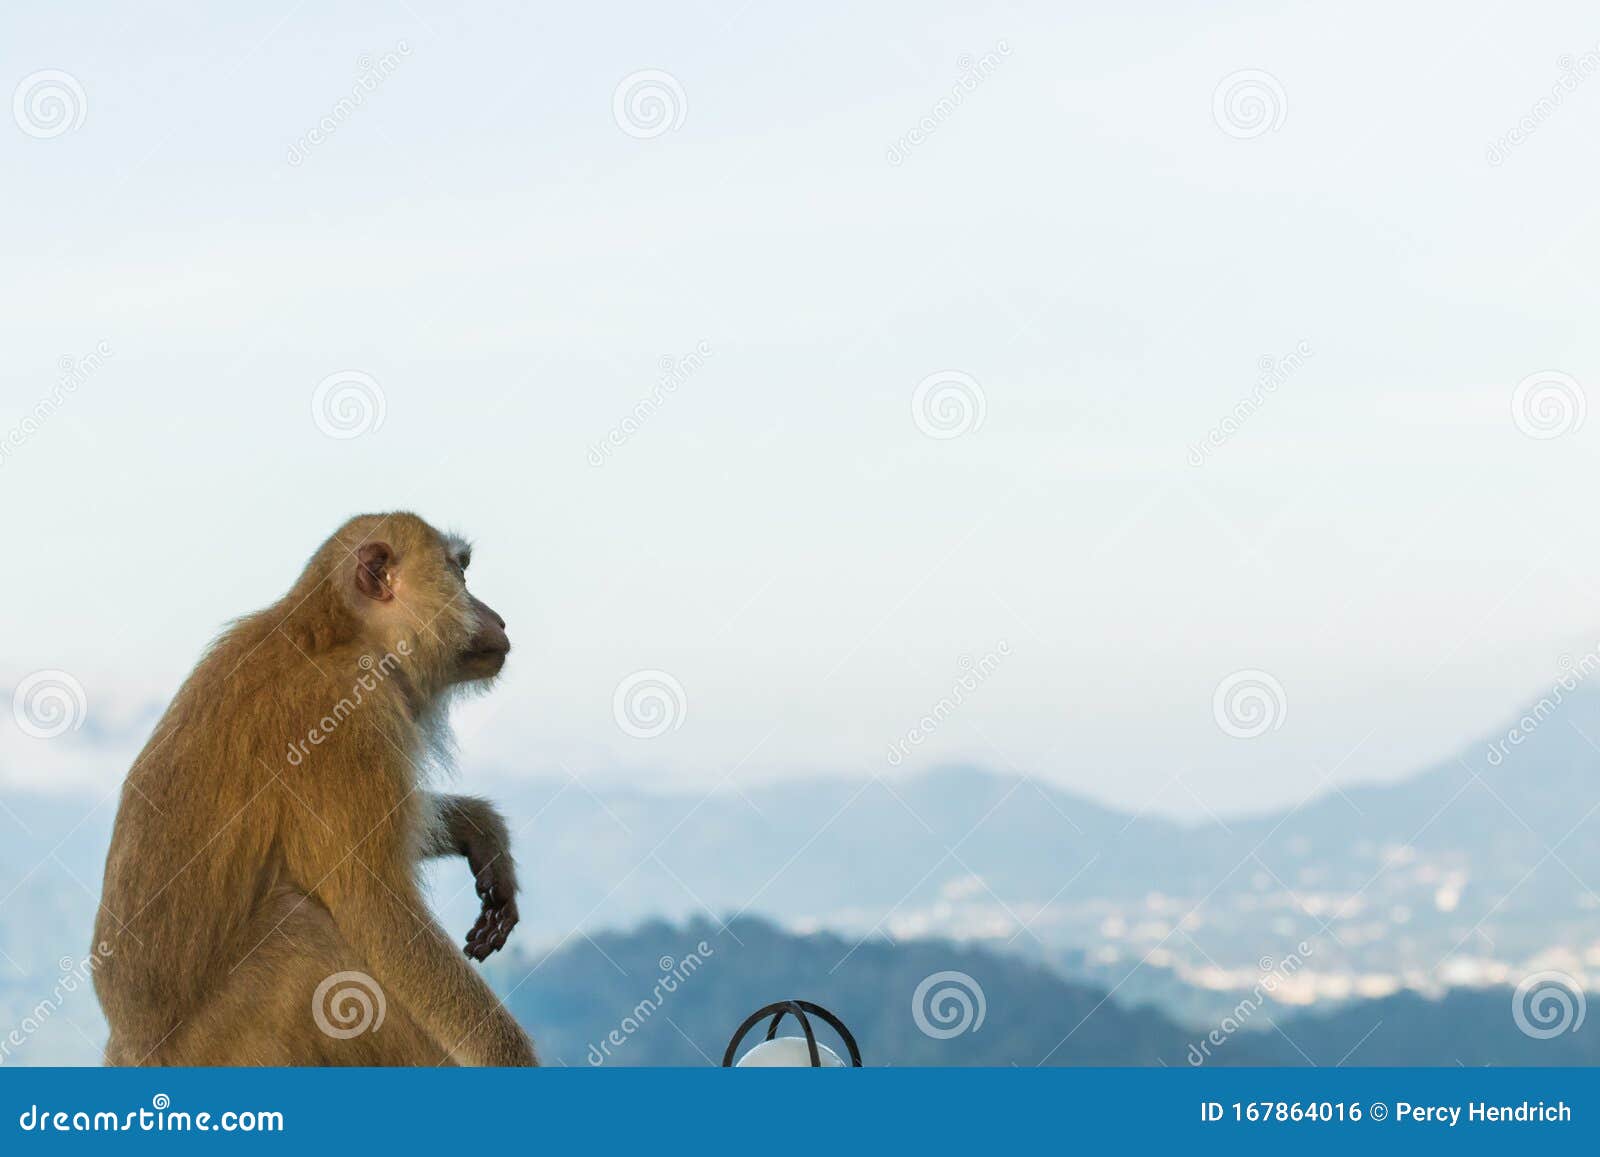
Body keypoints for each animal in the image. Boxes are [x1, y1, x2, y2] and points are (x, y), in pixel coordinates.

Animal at [91, 512, 538, 1066]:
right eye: (461, 572)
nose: (497, 619)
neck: (339, 637)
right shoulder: (347, 718)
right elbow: (378, 914)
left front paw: (481, 831)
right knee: (301, 938)